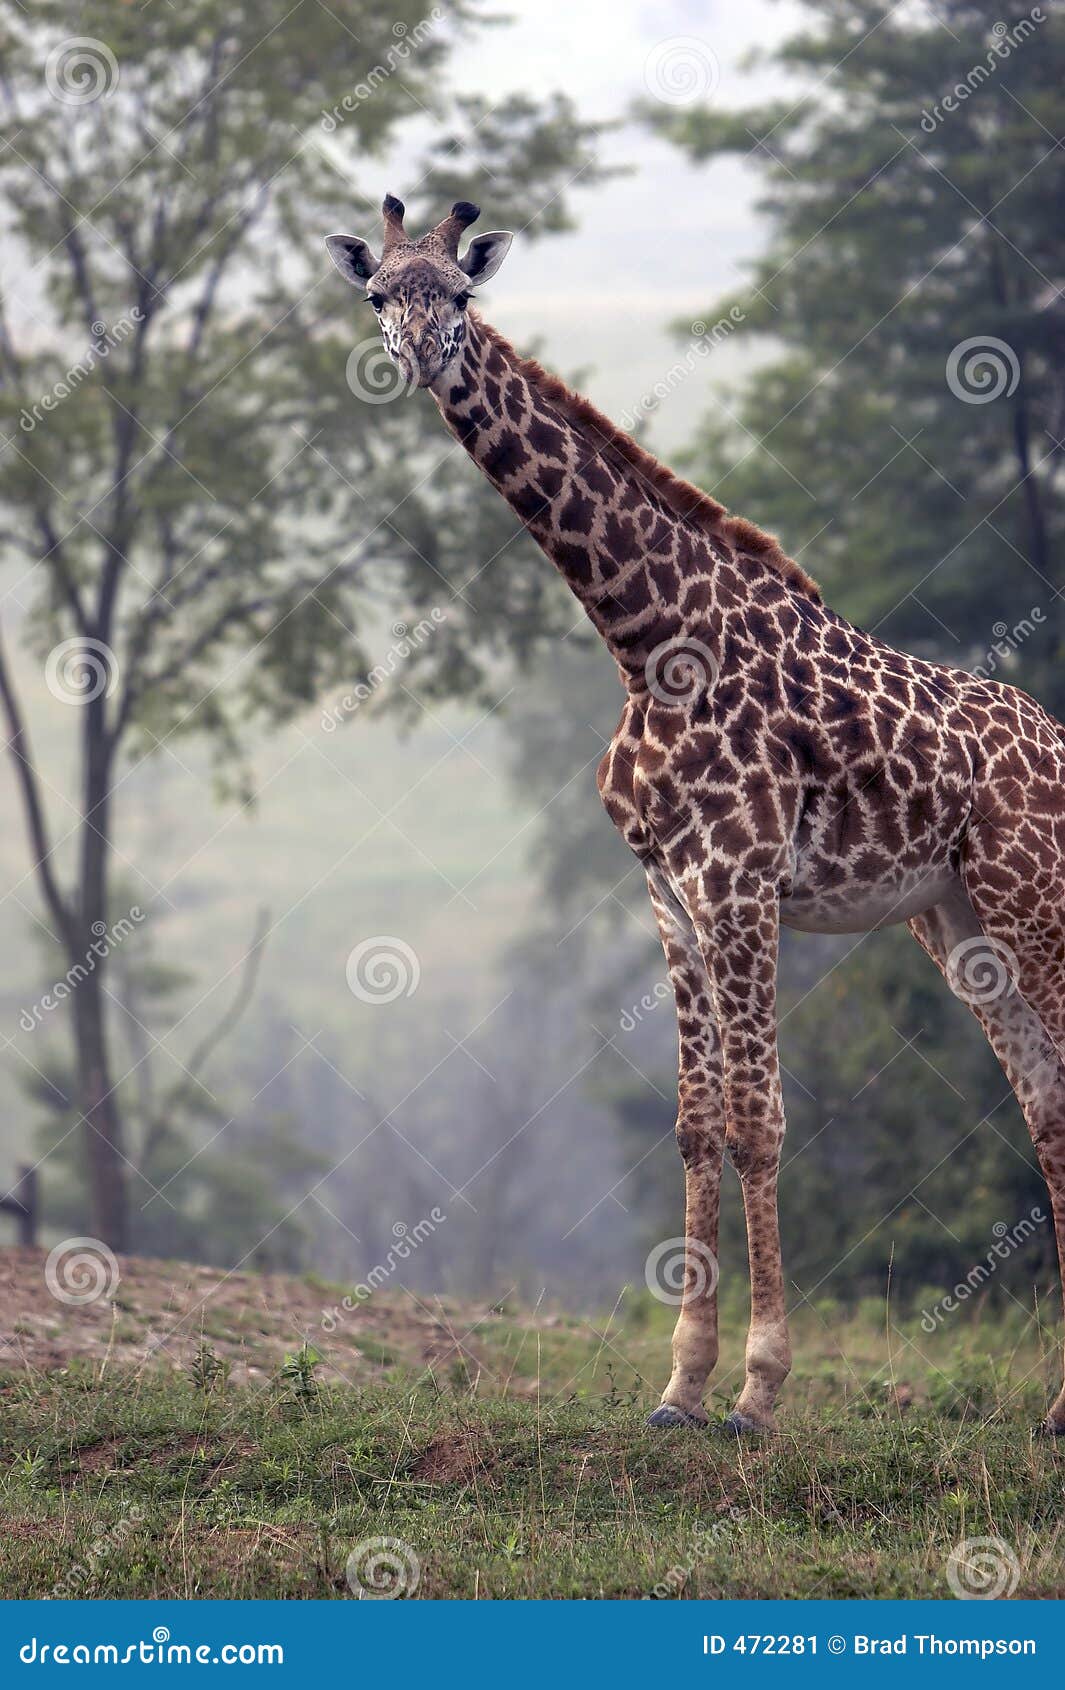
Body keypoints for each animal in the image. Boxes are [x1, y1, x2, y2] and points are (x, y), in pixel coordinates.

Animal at [326, 197, 1065, 1436]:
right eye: (380, 291)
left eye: (462, 294)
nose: (419, 355)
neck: (646, 639)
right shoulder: (670, 893)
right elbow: (695, 1121)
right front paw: (679, 1386)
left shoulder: (744, 881)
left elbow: (761, 1120)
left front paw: (759, 1396)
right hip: (964, 928)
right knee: (1048, 1104)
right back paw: (1058, 1404)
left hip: (1032, 903)